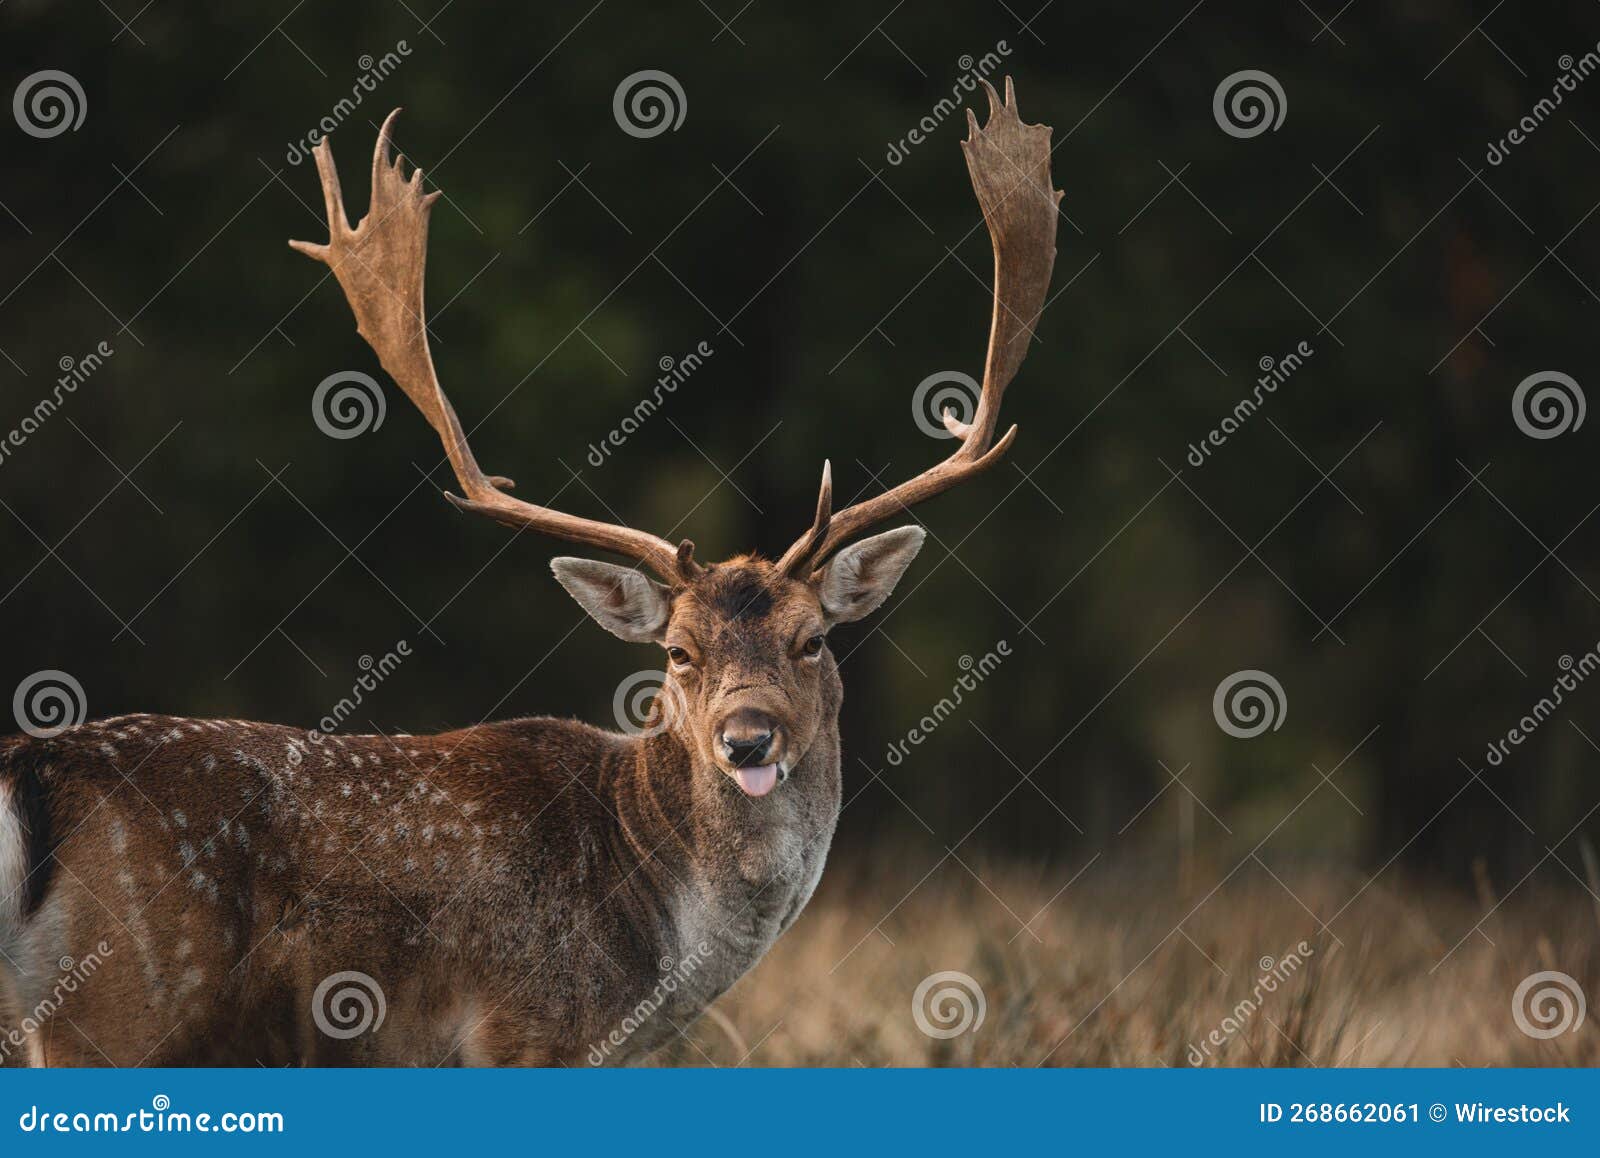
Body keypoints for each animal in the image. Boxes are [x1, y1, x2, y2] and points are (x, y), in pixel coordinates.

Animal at [0, 79, 1058, 1066]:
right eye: (678, 651)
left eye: (810, 640)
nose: (748, 737)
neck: (656, 946)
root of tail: (31, 764)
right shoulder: (527, 1027)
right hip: (127, 1001)